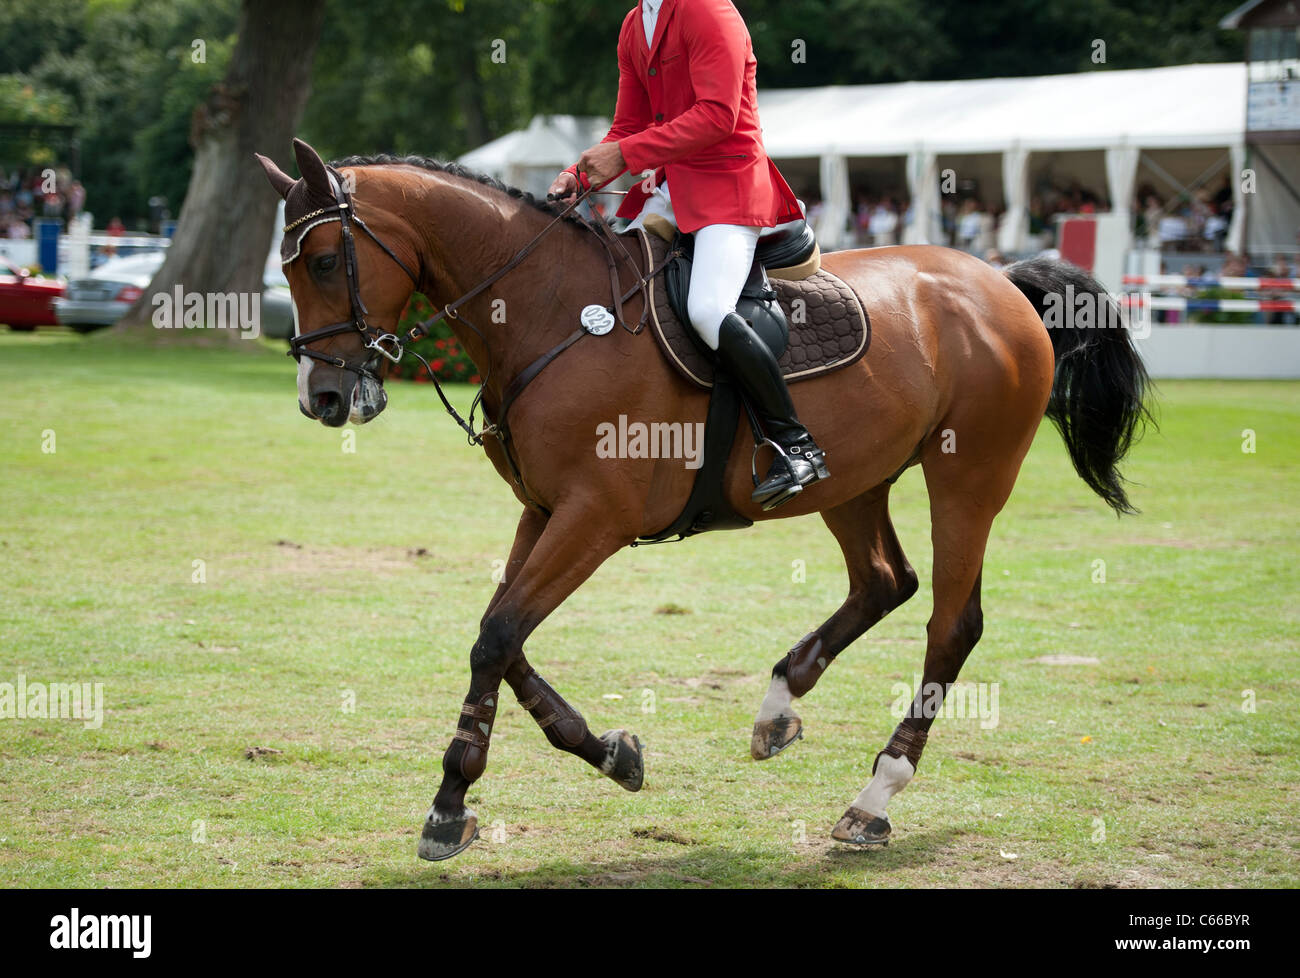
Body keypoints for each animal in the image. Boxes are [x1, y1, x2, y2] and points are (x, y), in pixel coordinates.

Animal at [256, 138, 1150, 860]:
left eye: (325, 261)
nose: (321, 400)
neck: (548, 311)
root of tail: (999, 279)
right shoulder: (543, 512)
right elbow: (502, 638)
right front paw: (611, 753)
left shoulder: (596, 518)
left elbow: (497, 636)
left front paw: (448, 806)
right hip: (855, 479)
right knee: (883, 581)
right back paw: (779, 706)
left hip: (968, 477)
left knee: (951, 625)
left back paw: (874, 798)